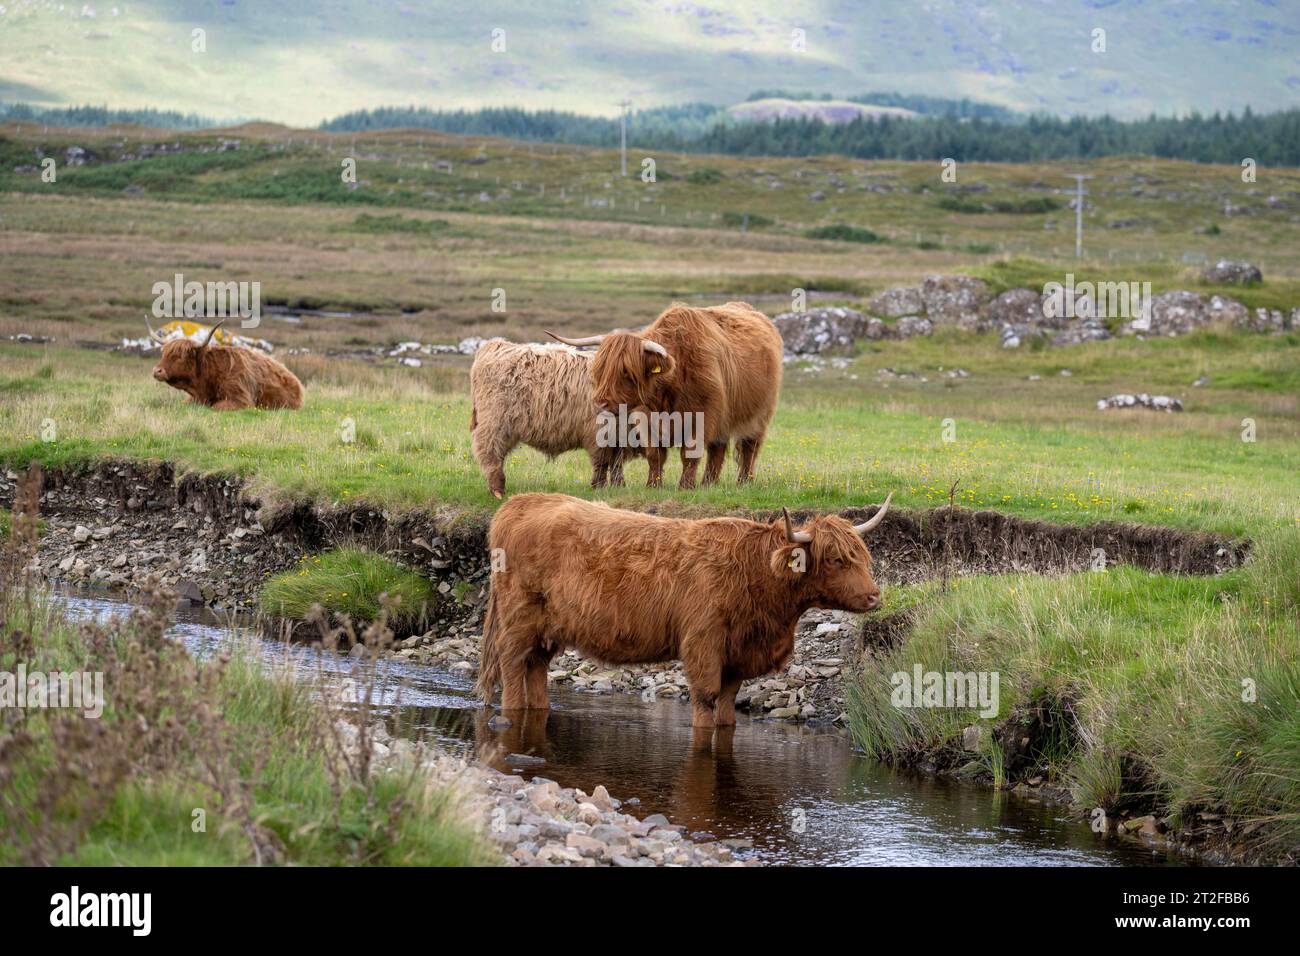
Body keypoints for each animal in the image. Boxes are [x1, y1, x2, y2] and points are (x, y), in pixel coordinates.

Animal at [147, 318, 304, 410]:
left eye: (179, 357)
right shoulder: (193, 398)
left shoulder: (241, 400)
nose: (156, 370)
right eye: (163, 354)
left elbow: (215, 407)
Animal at [470, 338, 637, 498]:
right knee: (489, 449)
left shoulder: (620, 434)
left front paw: (619, 487)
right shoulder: (598, 430)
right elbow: (602, 461)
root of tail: (496, 345)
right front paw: (599, 487)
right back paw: (498, 489)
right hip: (495, 420)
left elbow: (617, 462)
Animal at [476, 490, 892, 729]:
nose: (874, 596)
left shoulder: (738, 653)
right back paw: (512, 713)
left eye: (862, 556)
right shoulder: (703, 641)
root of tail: (517, 503)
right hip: (519, 618)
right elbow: (705, 699)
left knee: (535, 669)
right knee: (511, 666)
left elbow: (727, 705)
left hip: (548, 629)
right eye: (836, 560)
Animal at [546, 301, 783, 489]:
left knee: (749, 447)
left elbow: (690, 453)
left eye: (626, 372)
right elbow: (655, 455)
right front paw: (653, 484)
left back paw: (744, 481)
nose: (601, 403)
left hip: (758, 415)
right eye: (600, 369)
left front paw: (685, 486)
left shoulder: (702, 416)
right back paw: (709, 483)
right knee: (718, 449)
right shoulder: (646, 420)